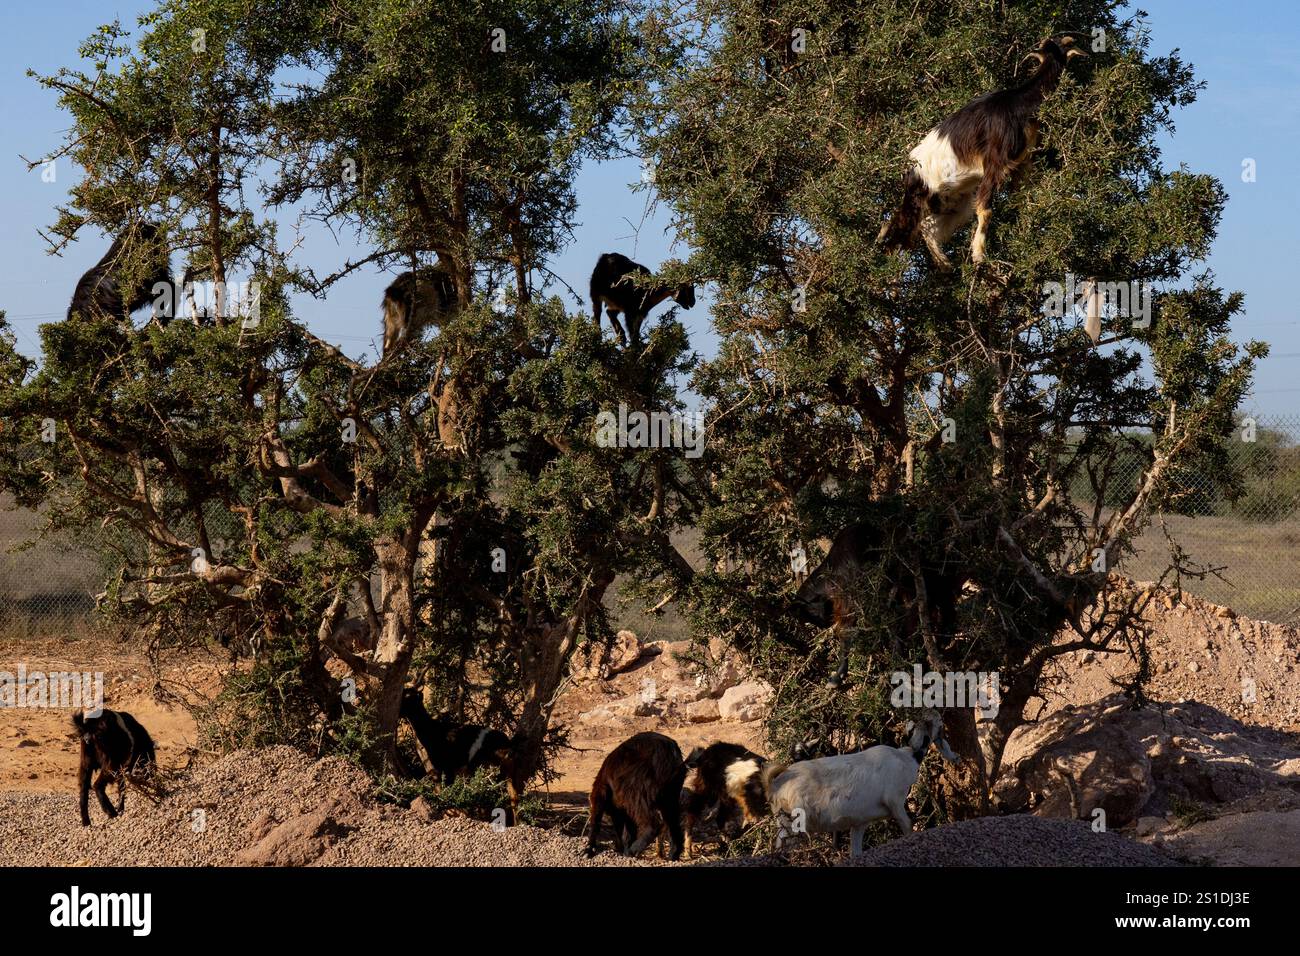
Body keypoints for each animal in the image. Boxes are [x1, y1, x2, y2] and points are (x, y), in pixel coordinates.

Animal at [399, 688, 523, 824]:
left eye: (407, 697)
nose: (399, 711)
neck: (433, 730)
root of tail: (508, 744)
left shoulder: (445, 767)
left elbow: (445, 789)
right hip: (506, 771)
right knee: (513, 796)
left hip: (483, 767)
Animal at [585, 731, 687, 860]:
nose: (618, 847)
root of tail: (669, 752)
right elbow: (629, 828)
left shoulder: (603, 791)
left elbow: (596, 817)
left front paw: (589, 848)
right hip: (671, 793)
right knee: (673, 821)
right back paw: (673, 854)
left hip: (636, 788)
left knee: (653, 823)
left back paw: (633, 850)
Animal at [765, 710, 958, 856]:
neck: (906, 757)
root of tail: (776, 785)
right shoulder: (894, 801)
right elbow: (908, 828)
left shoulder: (860, 822)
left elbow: (856, 852)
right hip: (793, 825)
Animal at [877, 35, 1089, 270]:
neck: (1019, 103)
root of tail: (910, 167)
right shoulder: (994, 162)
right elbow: (985, 209)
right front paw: (979, 255)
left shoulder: (1022, 163)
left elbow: (1021, 198)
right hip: (920, 196)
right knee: (901, 230)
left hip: (952, 200)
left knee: (927, 227)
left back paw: (944, 264)